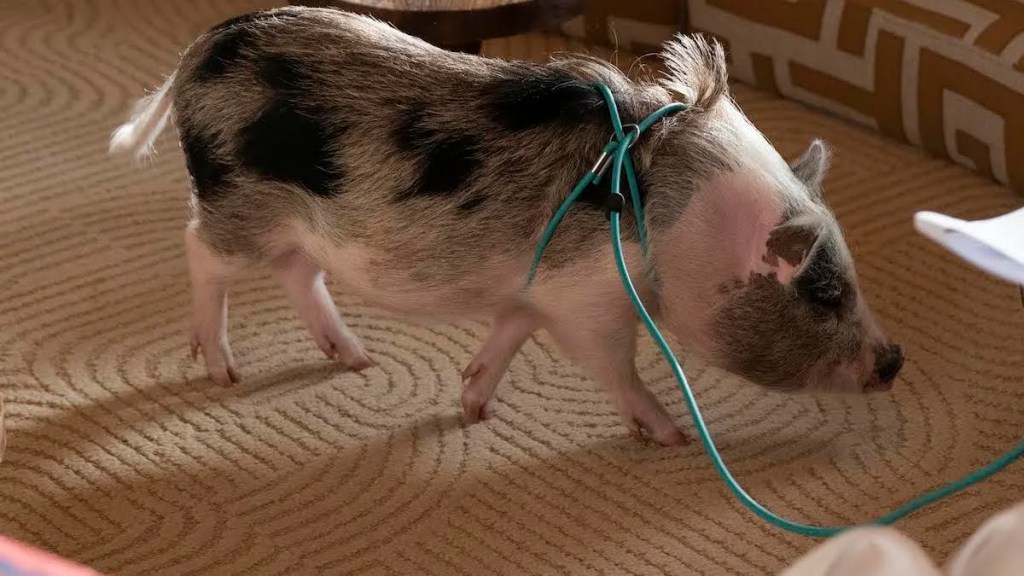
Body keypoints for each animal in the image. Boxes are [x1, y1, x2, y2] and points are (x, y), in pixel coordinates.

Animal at [109, 7, 903, 445]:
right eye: (825, 293)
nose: (895, 359)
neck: (682, 227)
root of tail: (201, 49)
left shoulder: (537, 289)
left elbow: (509, 333)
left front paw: (472, 408)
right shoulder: (589, 301)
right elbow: (611, 365)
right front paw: (672, 437)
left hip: (296, 226)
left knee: (295, 270)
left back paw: (358, 360)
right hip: (235, 205)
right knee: (199, 251)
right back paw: (223, 368)